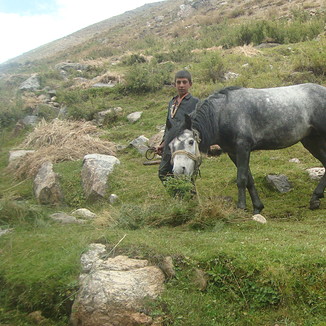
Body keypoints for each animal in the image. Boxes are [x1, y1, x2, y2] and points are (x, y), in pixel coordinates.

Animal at [167, 83, 326, 214]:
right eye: (170, 146)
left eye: (190, 142)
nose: (179, 171)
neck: (222, 114)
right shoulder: (233, 152)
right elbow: (249, 178)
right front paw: (257, 207)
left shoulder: (243, 148)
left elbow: (241, 179)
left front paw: (241, 207)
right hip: (311, 141)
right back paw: (315, 199)